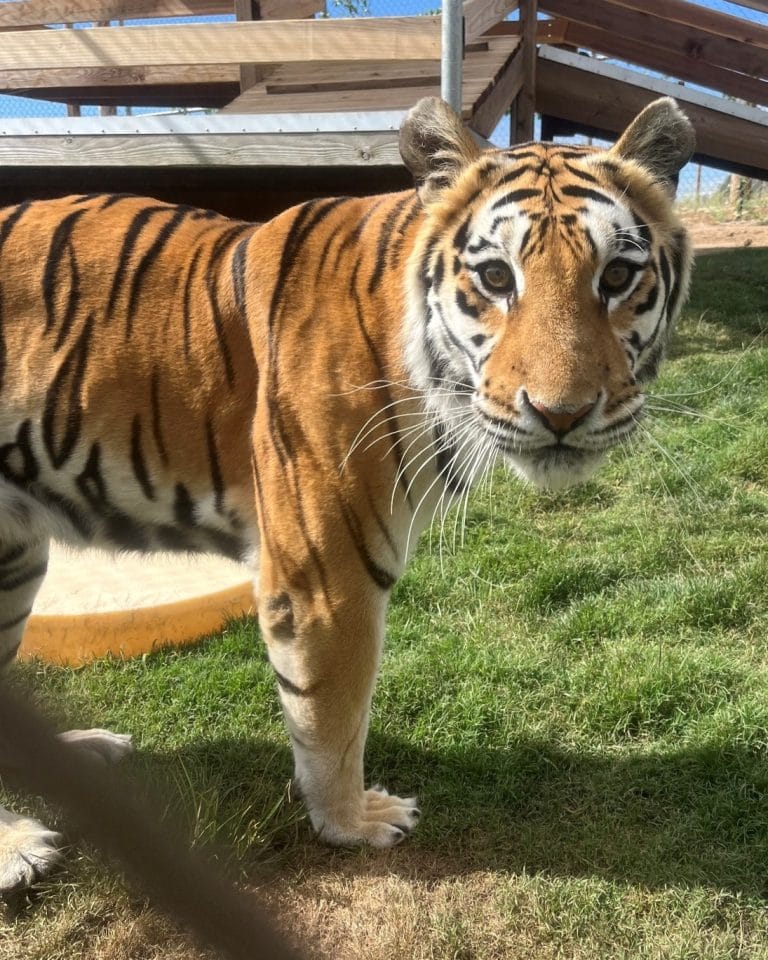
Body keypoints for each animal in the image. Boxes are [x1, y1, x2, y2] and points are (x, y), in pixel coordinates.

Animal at [0, 95, 694, 895]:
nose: (561, 414)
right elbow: (334, 713)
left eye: (617, 276)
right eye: (495, 277)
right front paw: (353, 822)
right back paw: (18, 848)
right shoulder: (324, 573)